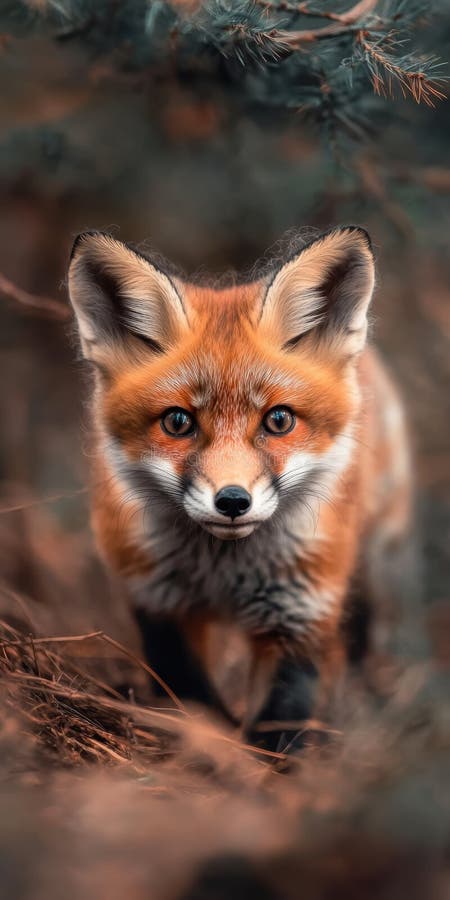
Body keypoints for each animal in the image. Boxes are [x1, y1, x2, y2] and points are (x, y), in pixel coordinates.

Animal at [68, 225, 417, 750]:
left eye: (278, 420)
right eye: (178, 422)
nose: (232, 500)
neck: (223, 571)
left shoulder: (300, 611)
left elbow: (281, 723)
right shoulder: (159, 601)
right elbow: (192, 701)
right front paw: (209, 747)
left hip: (369, 566)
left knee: (357, 644)